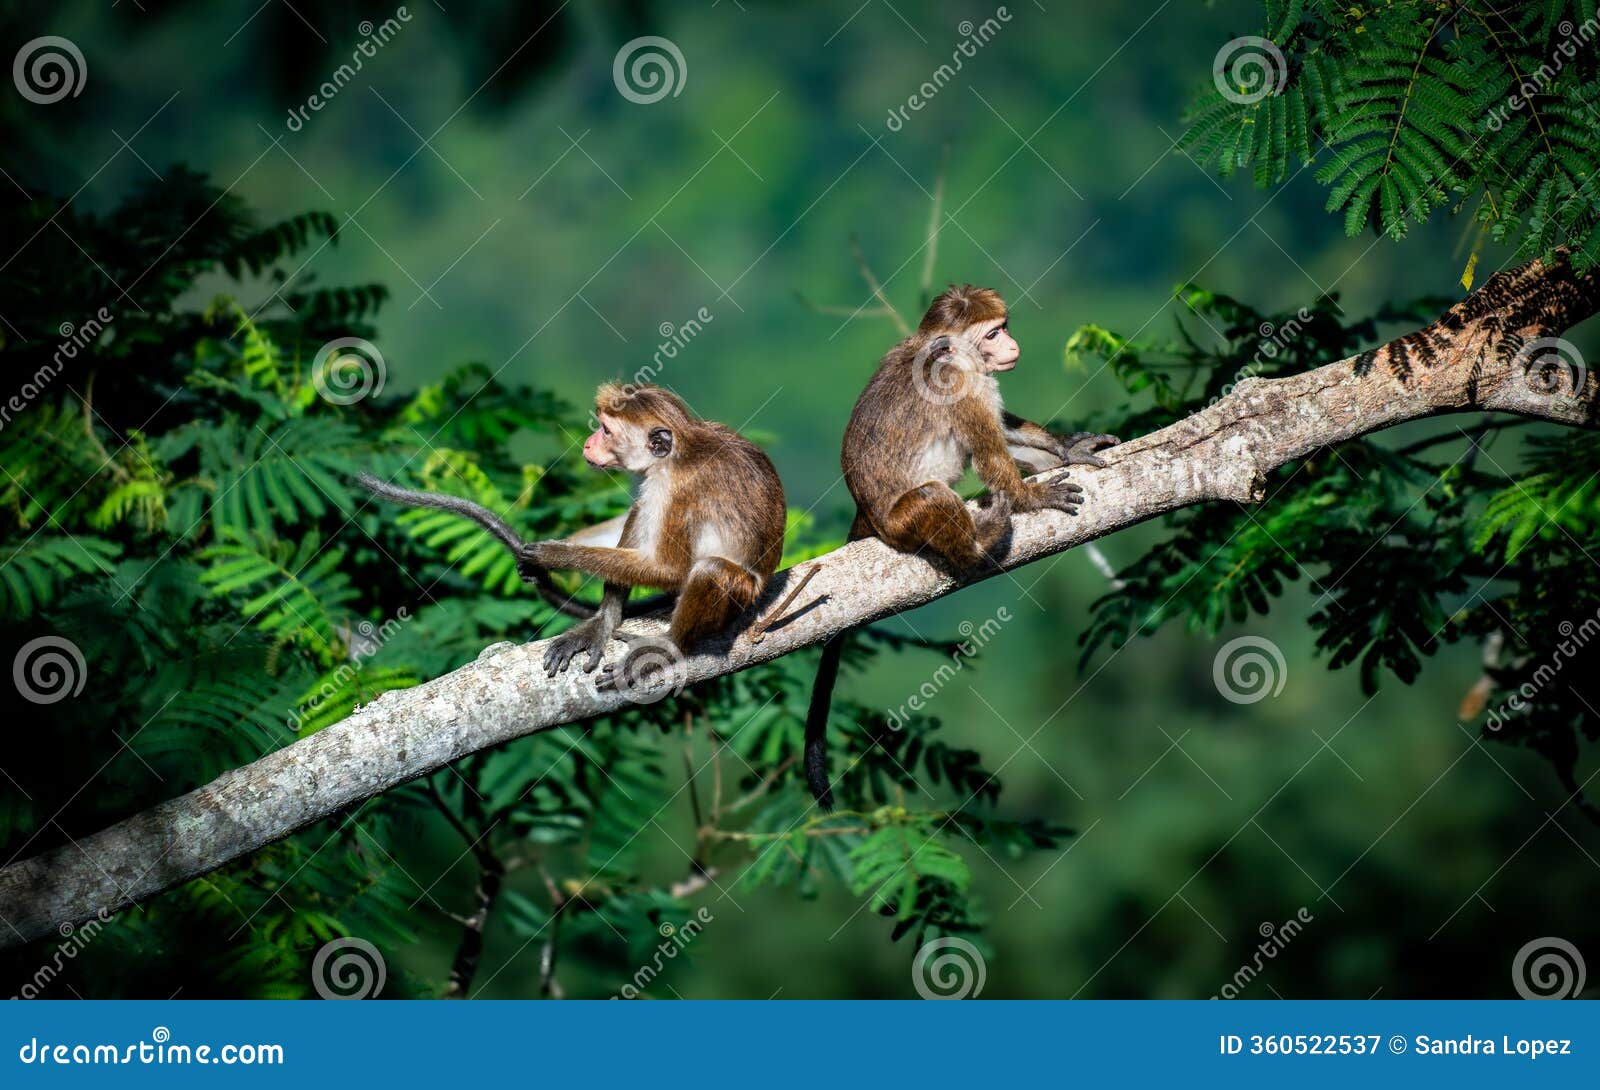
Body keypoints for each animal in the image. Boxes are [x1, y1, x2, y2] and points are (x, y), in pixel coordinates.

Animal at [804, 284, 1119, 808]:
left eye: (1003, 327)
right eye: (992, 334)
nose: (1010, 344)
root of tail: (865, 512)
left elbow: (1002, 430)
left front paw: (1065, 449)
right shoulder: (959, 381)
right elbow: (989, 455)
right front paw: (1031, 497)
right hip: (901, 523)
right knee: (935, 495)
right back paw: (978, 545)